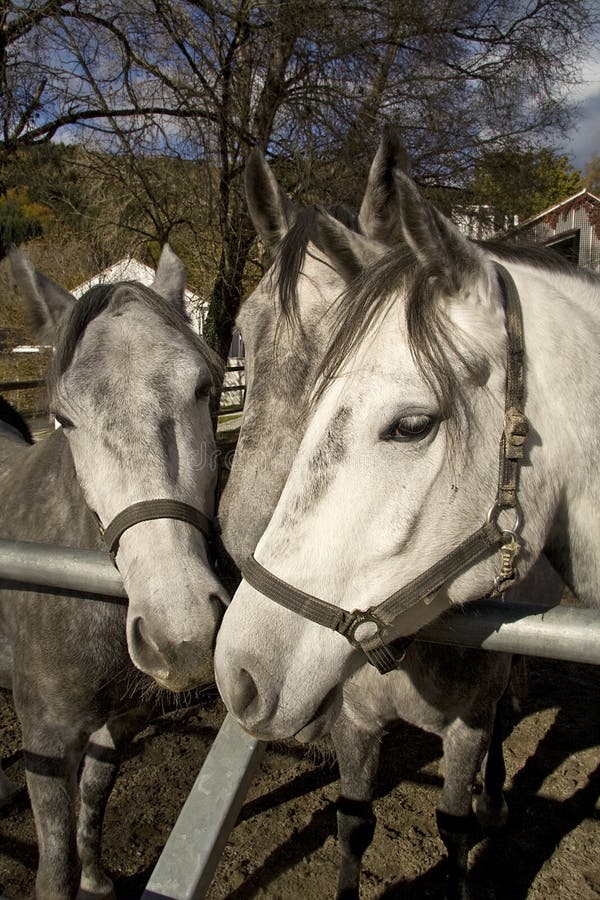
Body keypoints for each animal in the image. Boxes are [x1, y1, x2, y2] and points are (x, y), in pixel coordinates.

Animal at [0, 246, 228, 899]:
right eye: (64, 417)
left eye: (204, 389)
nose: (183, 638)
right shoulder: (46, 742)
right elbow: (52, 863)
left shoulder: (122, 721)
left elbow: (97, 796)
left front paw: (97, 879)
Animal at [216, 135, 565, 897]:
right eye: (244, 336)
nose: (243, 538)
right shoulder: (354, 724)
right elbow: (353, 824)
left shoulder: (466, 727)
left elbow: (454, 826)